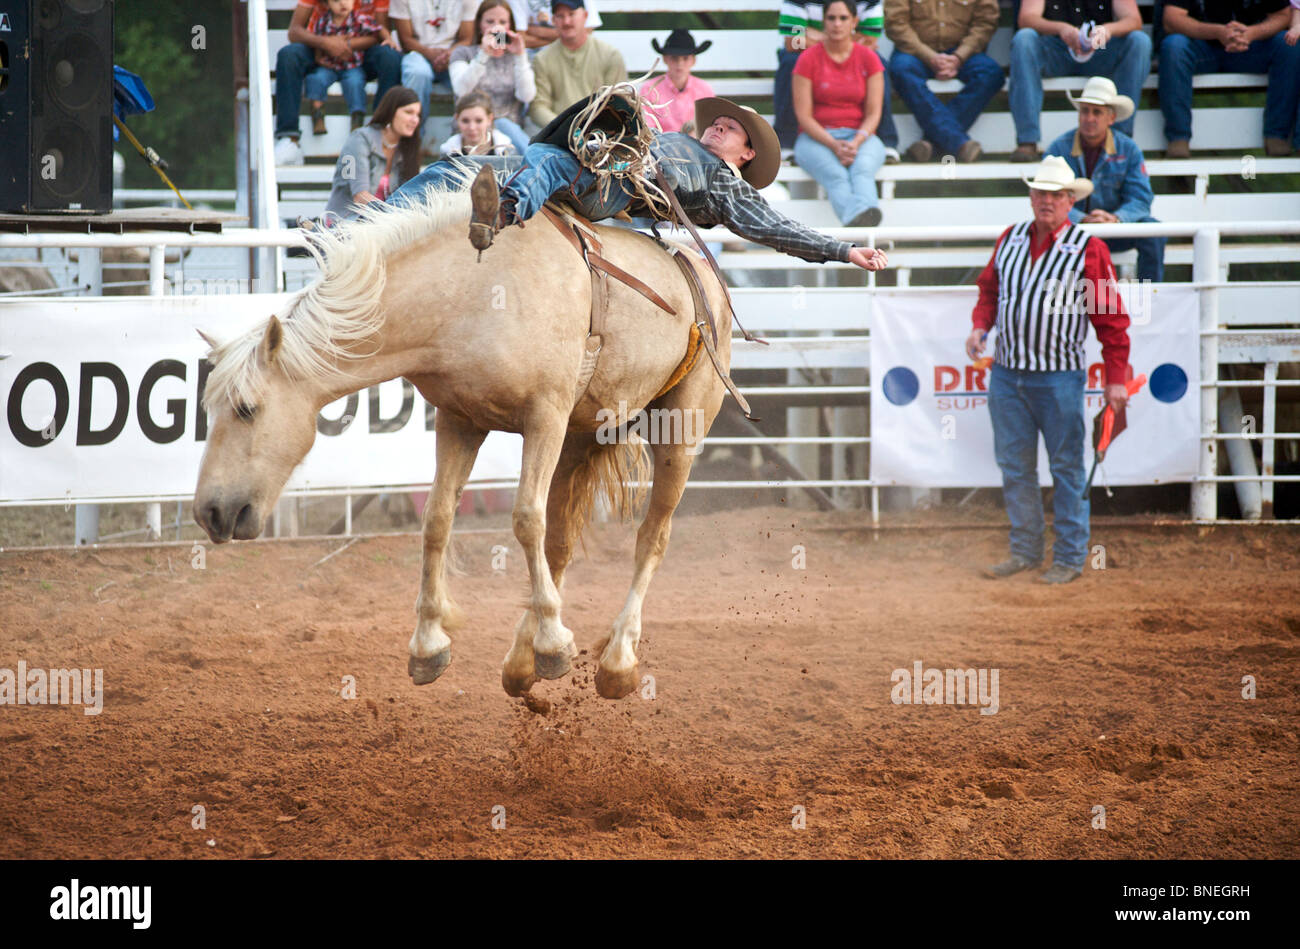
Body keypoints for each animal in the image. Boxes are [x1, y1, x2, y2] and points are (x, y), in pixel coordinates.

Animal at [192, 187, 730, 699]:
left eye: (246, 408)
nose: (210, 512)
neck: (469, 296)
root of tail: (703, 271)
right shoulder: (459, 421)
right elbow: (437, 520)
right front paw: (429, 645)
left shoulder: (546, 417)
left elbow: (525, 518)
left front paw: (554, 644)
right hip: (582, 437)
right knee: (561, 542)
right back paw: (521, 660)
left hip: (680, 429)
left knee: (651, 537)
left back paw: (616, 658)